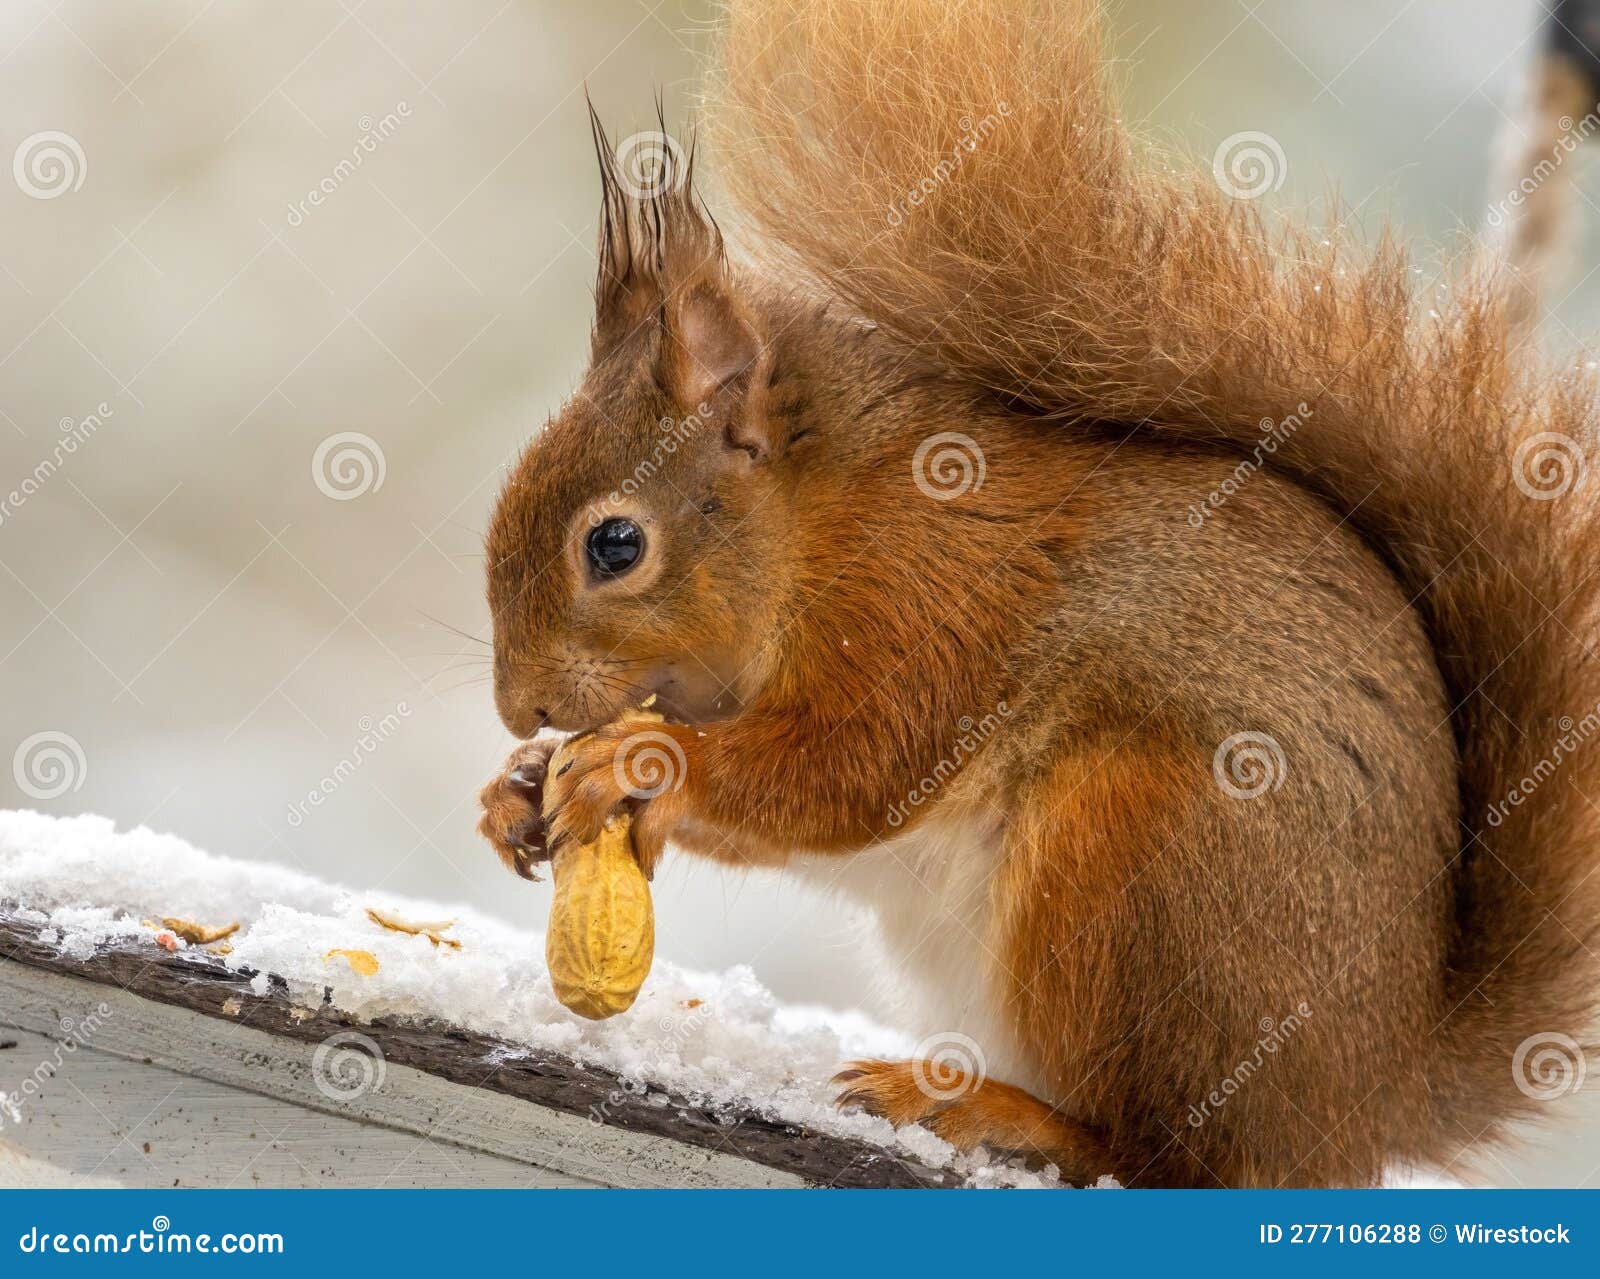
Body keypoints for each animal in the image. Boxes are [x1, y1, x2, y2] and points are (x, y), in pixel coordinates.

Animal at [477, 0, 1600, 1187]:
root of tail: (1367, 1104)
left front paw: (639, 761)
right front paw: (517, 787)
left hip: (1135, 858)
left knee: (1162, 1150)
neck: (817, 524)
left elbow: (851, 770)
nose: (519, 706)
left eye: (614, 545)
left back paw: (993, 1112)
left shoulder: (930, 597)